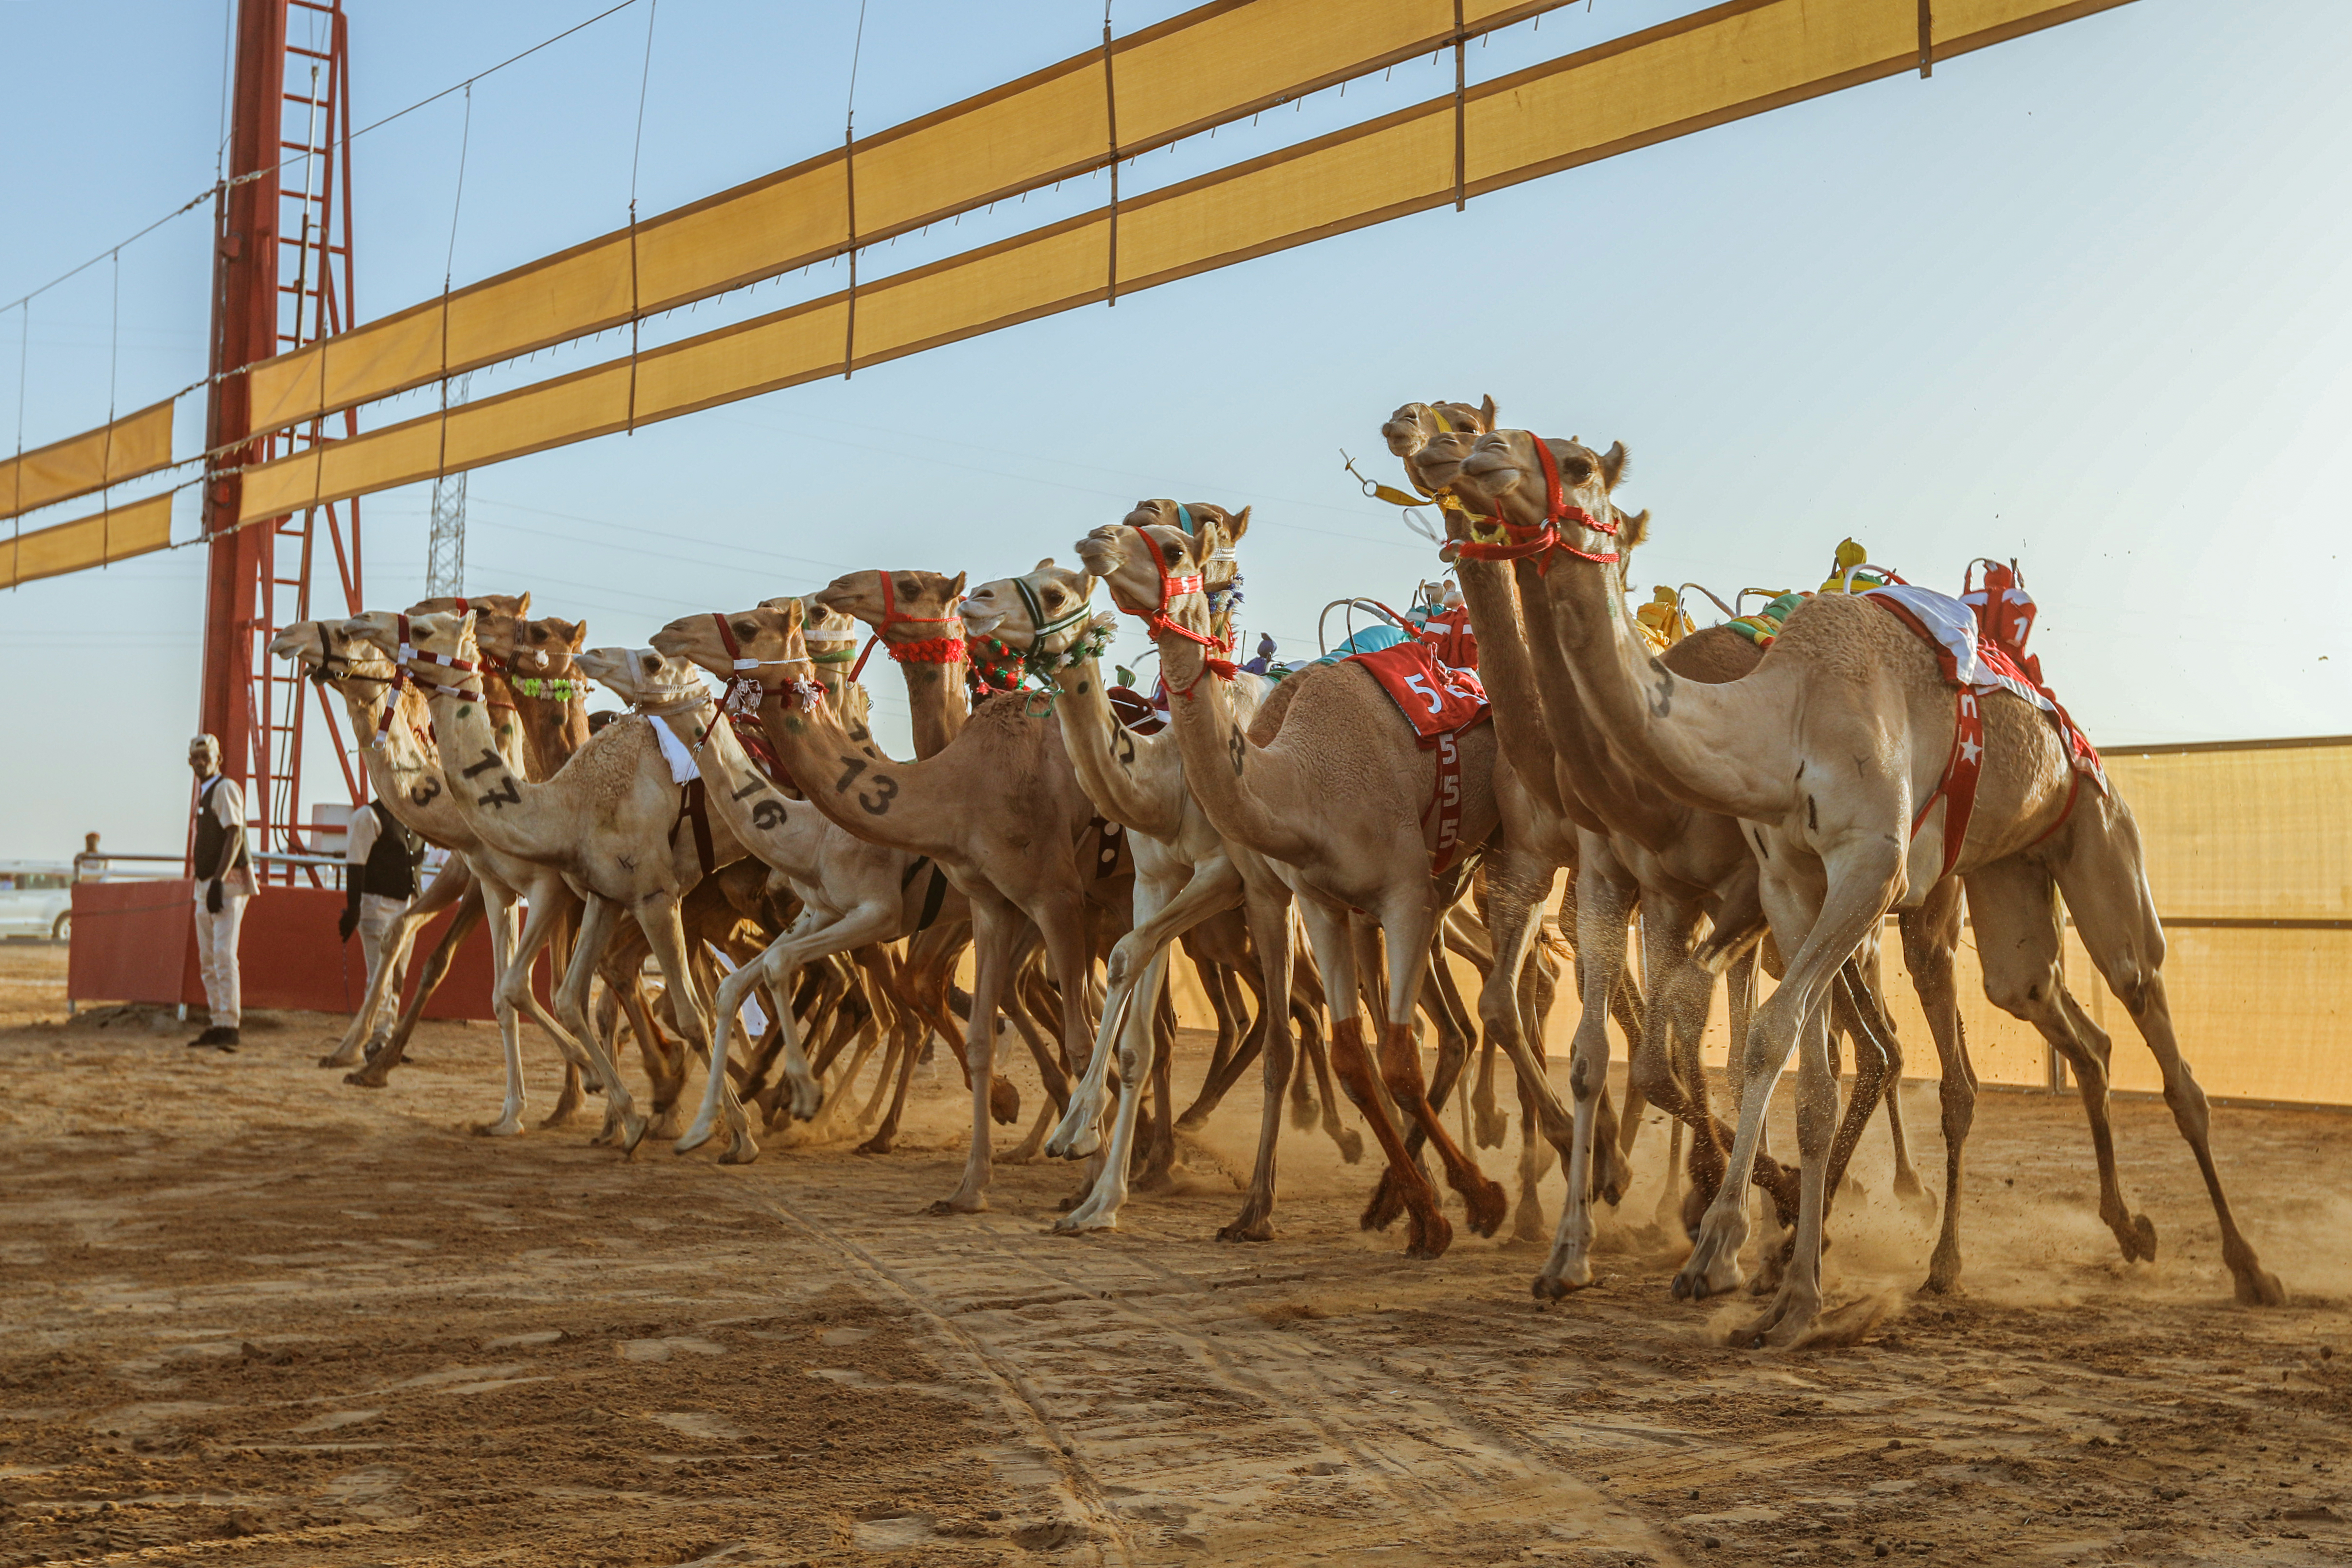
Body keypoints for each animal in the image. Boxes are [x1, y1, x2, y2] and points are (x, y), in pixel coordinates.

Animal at [1075, 517, 1510, 1259]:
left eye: (1176, 544)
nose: (1095, 539)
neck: (1299, 779)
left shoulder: (1403, 892)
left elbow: (1398, 1055)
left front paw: (1478, 1201)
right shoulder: (1323, 902)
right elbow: (1353, 1053)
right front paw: (1424, 1209)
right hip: (1433, 885)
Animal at [1446, 427, 2284, 1342]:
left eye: (1581, 463)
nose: (1480, 455)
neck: (1781, 717)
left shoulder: (1870, 867)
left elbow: (1778, 1037)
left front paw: (1759, 1268)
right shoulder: (1788, 882)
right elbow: (1790, 1065)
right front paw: (1756, 1271)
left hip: (2099, 837)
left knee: (2157, 1028)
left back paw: (2250, 1267)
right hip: (2008, 887)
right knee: (2057, 1014)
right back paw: (2115, 1232)